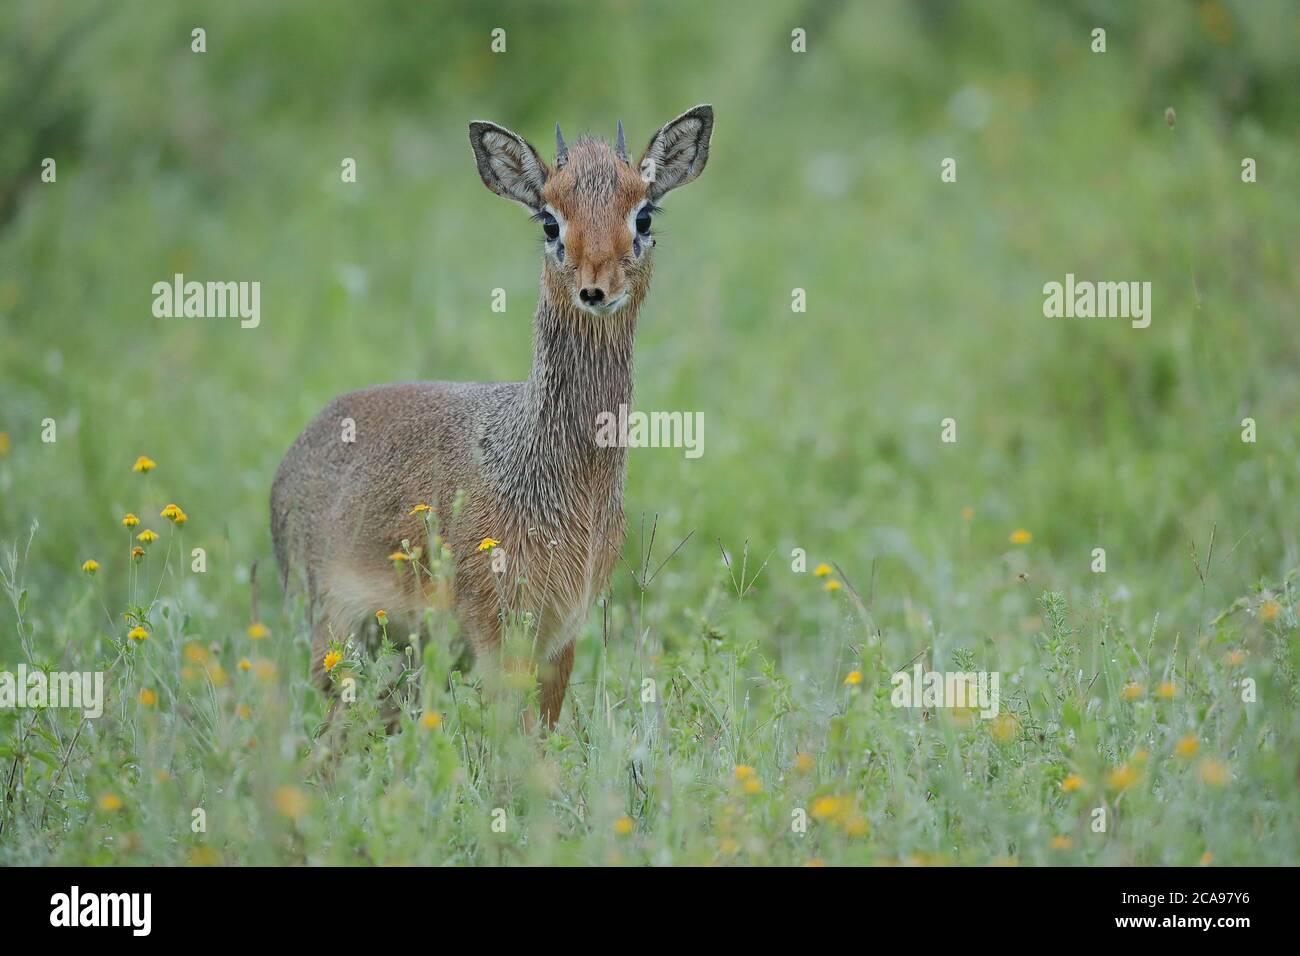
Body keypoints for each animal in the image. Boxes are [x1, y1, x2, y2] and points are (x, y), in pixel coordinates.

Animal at [271, 106, 713, 729]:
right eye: (550, 222)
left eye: (643, 214)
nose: (595, 289)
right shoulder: (497, 634)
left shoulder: (561, 636)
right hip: (334, 630)